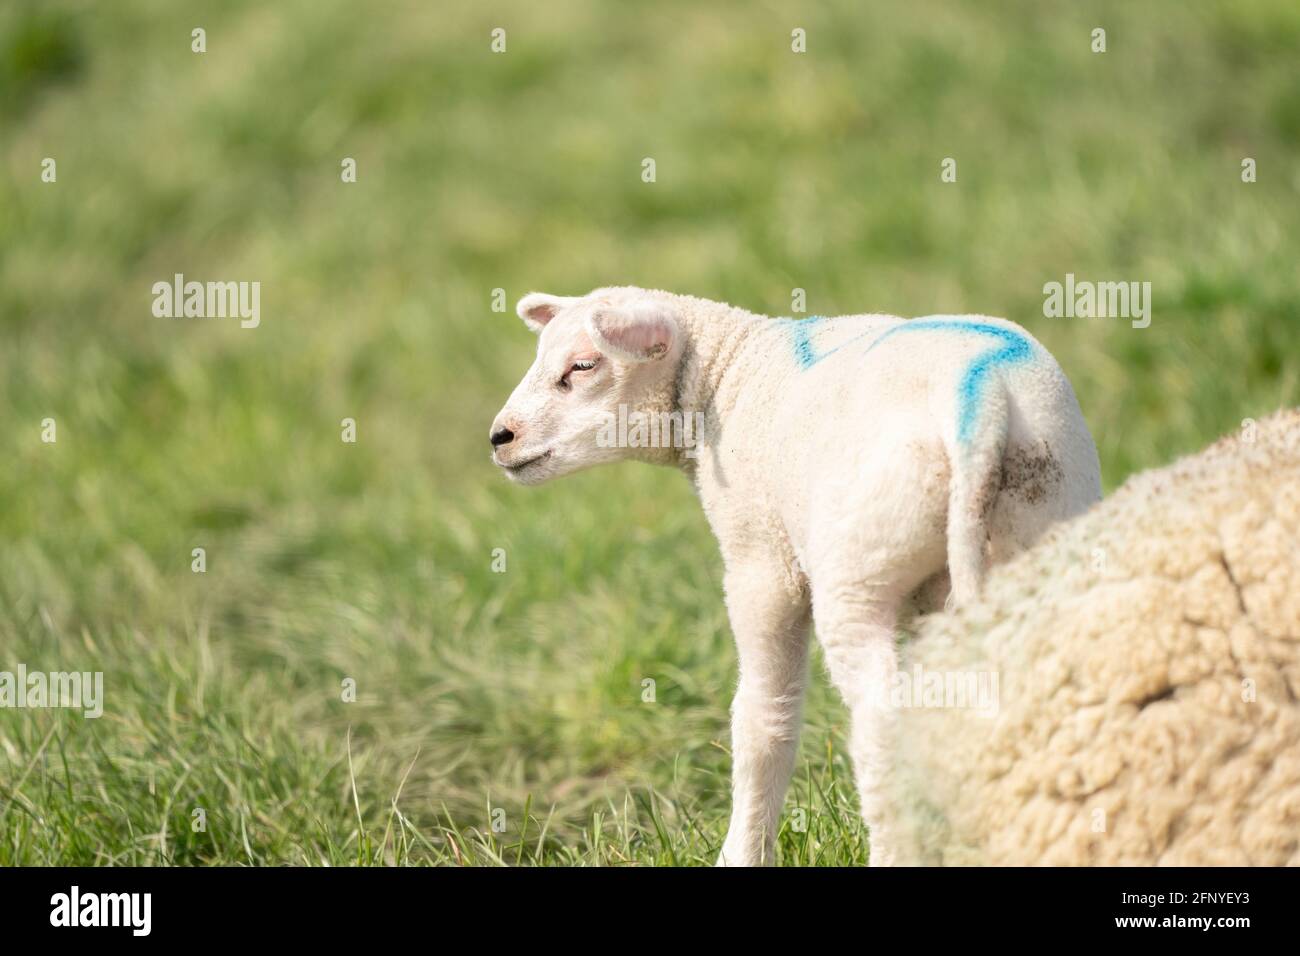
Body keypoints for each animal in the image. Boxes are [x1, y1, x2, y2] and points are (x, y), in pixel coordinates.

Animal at [489, 286, 1102, 865]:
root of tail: (982, 402)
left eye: (583, 365)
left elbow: (763, 718)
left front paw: (741, 853)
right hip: (1041, 529)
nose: (500, 437)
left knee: (883, 726)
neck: (727, 374)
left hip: (857, 568)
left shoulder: (761, 560)